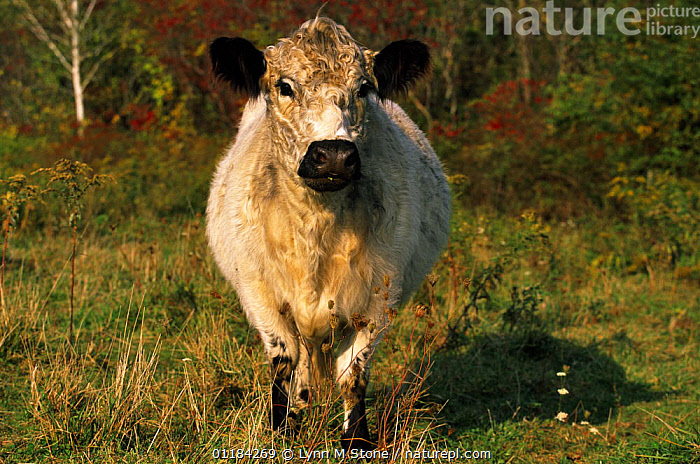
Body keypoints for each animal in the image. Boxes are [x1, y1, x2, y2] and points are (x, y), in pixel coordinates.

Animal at [206, 17, 450, 451]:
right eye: (285, 86)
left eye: (364, 87)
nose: (334, 154)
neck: (315, 231)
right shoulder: (260, 293)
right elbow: (284, 361)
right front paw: (282, 432)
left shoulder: (378, 295)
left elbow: (353, 372)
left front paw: (358, 441)